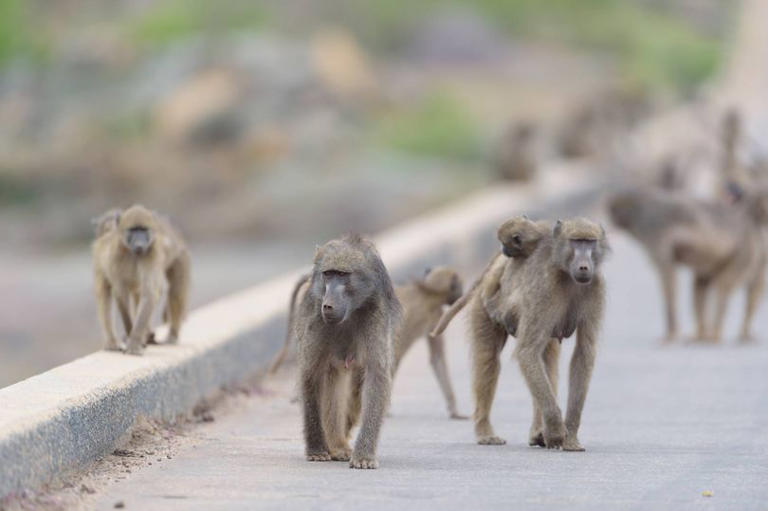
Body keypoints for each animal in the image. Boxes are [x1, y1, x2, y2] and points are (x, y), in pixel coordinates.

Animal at [92, 205, 190, 355]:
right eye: (133, 230)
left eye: (143, 230)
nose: (139, 244)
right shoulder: (114, 258)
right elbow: (120, 294)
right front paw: (130, 335)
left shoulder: (152, 255)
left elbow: (149, 294)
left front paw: (134, 342)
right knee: (104, 294)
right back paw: (112, 342)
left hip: (180, 257)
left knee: (175, 292)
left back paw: (171, 336)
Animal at [294, 234, 401, 469]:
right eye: (328, 274)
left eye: (343, 275)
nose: (328, 305)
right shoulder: (317, 319)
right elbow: (311, 373)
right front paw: (317, 450)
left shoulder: (376, 317)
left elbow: (376, 376)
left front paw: (364, 456)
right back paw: (335, 446)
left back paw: (339, 446)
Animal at [392, 266, 466, 419]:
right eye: (460, 285)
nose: (461, 295)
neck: (427, 295)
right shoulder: (413, 316)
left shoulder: (436, 315)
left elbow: (437, 358)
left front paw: (454, 411)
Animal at [470, 217, 608, 451]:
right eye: (576, 242)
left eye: (589, 242)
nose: (584, 266)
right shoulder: (545, 291)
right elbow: (527, 352)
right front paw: (556, 430)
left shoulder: (596, 287)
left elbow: (583, 352)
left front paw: (570, 436)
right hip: (483, 304)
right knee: (489, 358)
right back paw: (485, 432)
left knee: (546, 358)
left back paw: (537, 433)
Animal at [609, 187, 768, 342]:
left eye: (614, 212)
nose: (612, 223)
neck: (640, 209)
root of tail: (748, 222)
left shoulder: (652, 228)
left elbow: (667, 275)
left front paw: (670, 334)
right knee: (701, 284)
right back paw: (701, 336)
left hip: (745, 252)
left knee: (724, 286)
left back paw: (716, 335)